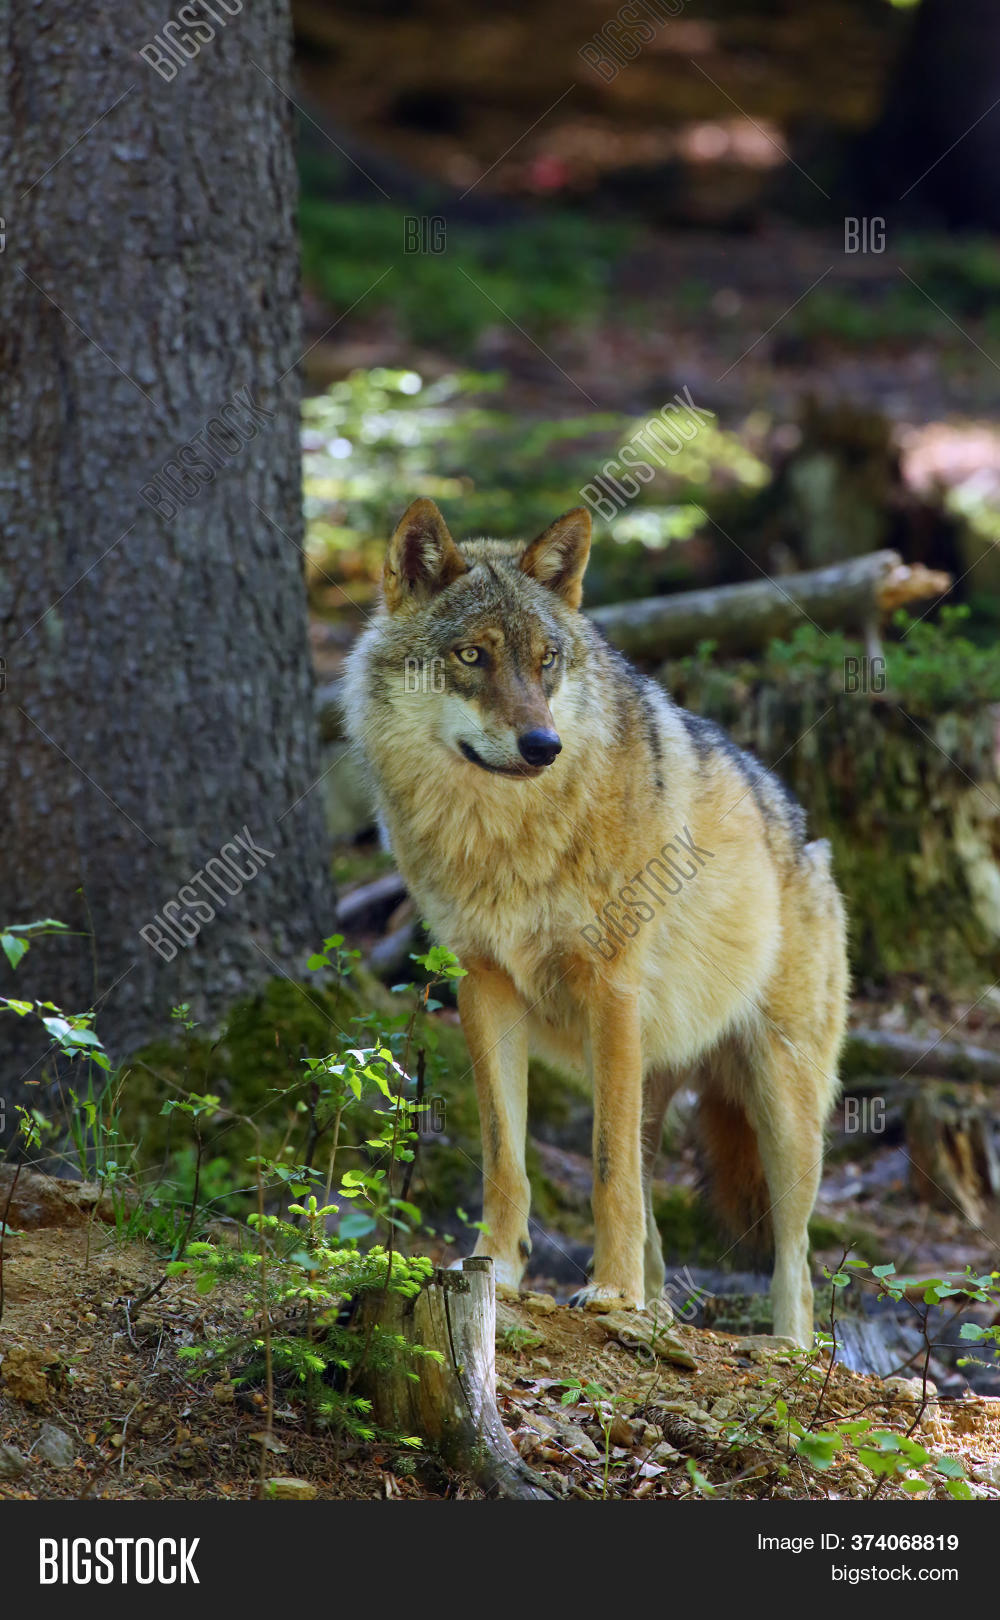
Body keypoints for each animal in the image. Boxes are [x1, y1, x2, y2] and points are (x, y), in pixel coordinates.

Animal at [342, 498, 849, 1344]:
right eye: (474, 655)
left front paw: (610, 1295)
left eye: (547, 659)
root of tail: (807, 834)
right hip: (653, 1073)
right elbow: (506, 1160)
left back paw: (786, 1350)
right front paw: (499, 1271)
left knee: (798, 1260)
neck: (503, 839)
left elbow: (606, 1171)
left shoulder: (609, 986)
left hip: (783, 1106)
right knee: (661, 1215)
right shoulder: (483, 985)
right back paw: (661, 1309)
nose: (542, 744)